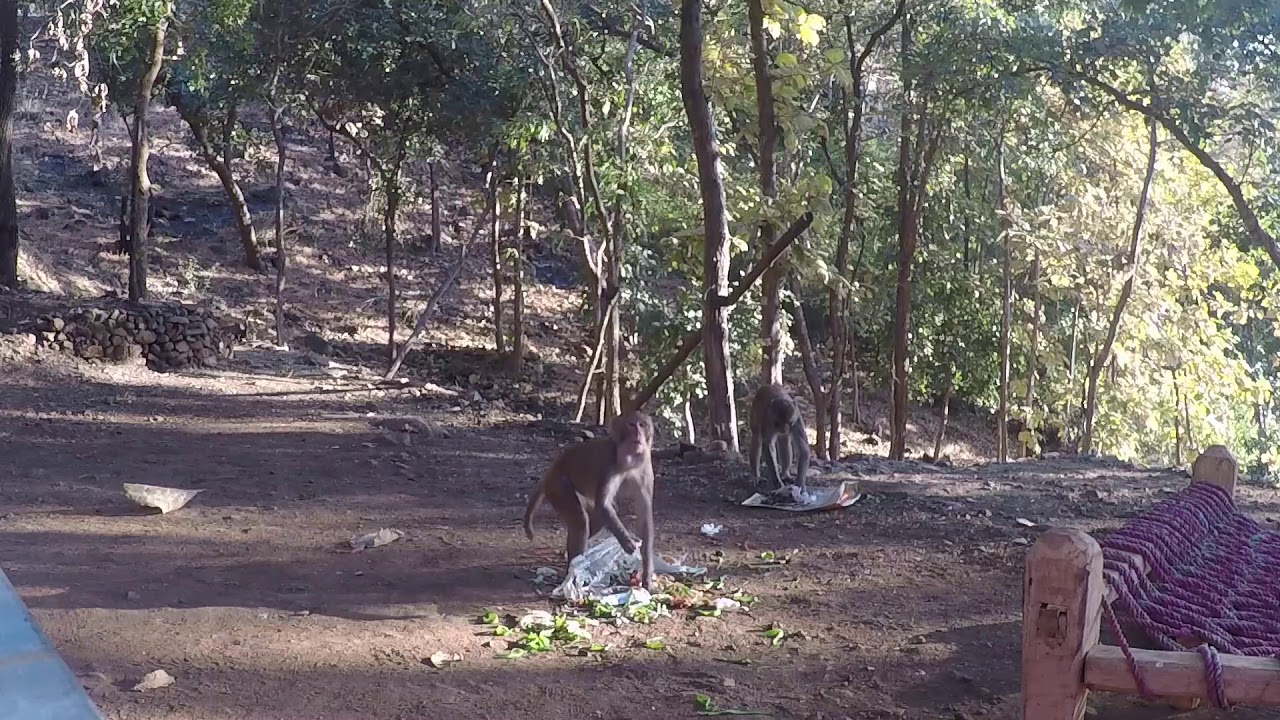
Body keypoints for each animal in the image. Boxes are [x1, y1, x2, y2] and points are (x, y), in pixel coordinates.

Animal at [523, 411, 657, 590]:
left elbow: (644, 512)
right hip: (557, 486)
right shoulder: (608, 463)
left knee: (595, 519)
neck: (629, 459)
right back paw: (572, 572)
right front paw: (626, 541)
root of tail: (550, 471)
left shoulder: (645, 467)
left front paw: (647, 575)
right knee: (580, 521)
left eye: (642, 425)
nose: (638, 433)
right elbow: (603, 505)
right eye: (631, 425)